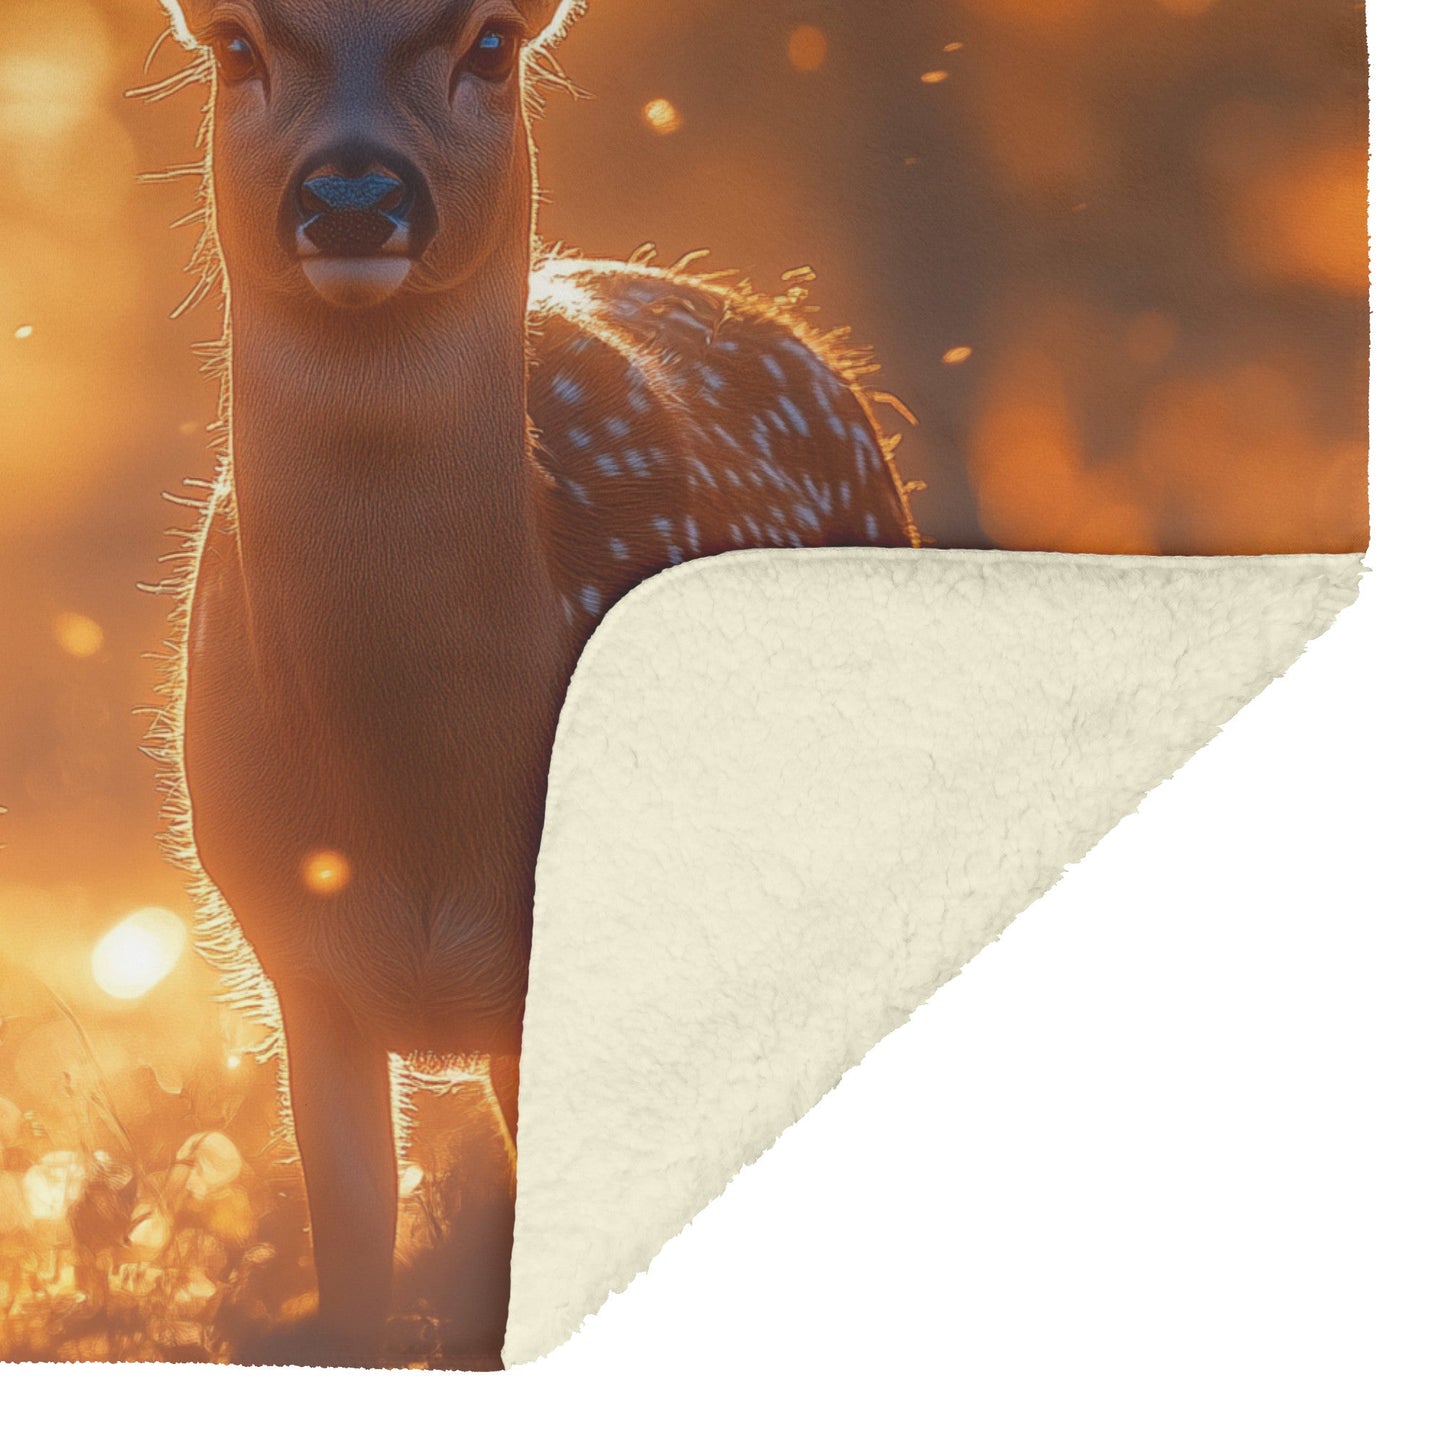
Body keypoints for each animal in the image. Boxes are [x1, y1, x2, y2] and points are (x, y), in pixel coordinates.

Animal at [154, 0, 919, 1368]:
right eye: (239, 43)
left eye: (491, 42)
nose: (354, 198)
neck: (418, 828)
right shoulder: (300, 967)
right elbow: (357, 1274)